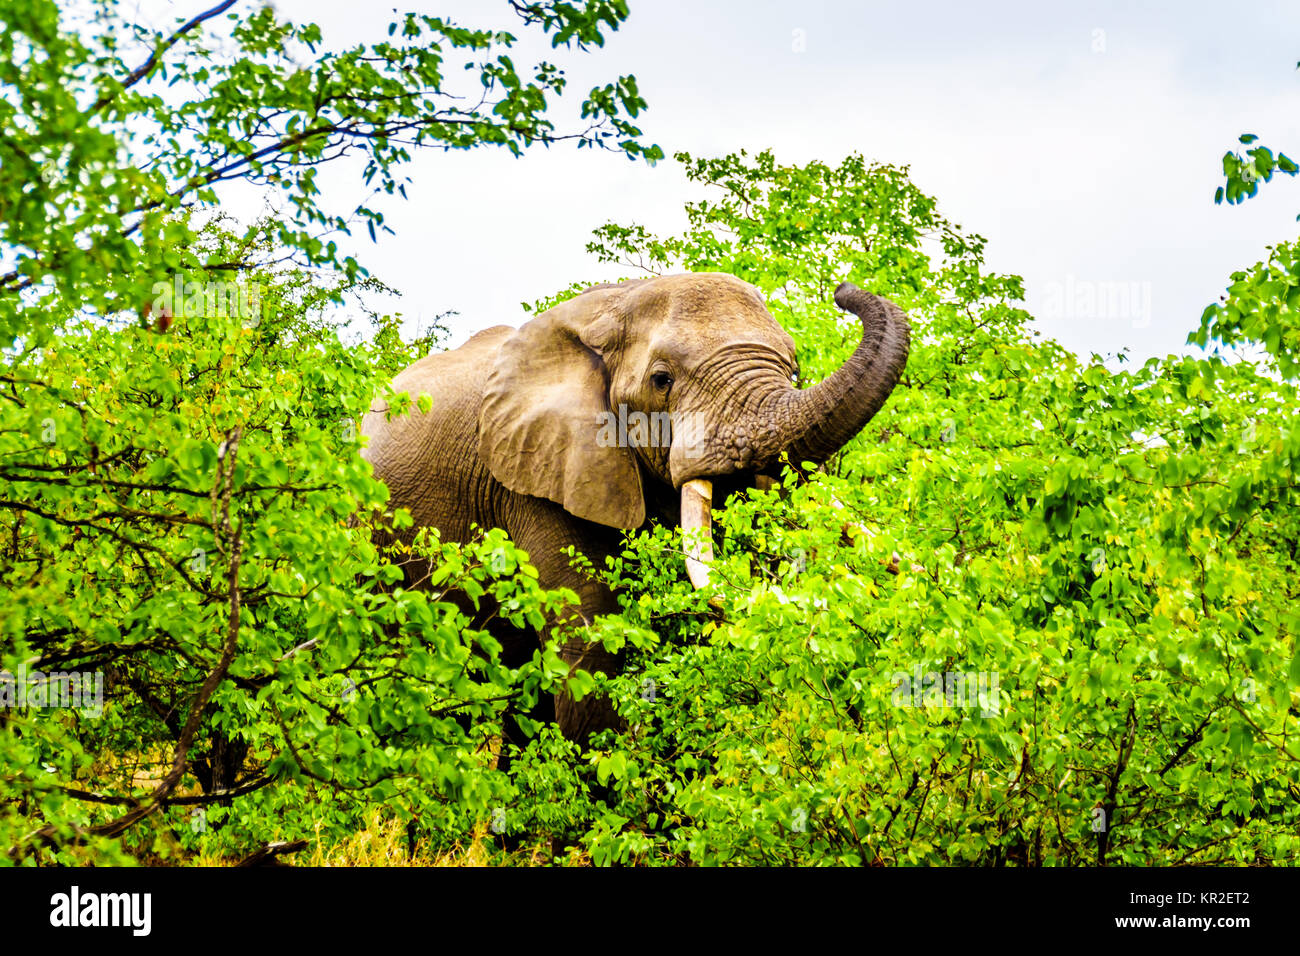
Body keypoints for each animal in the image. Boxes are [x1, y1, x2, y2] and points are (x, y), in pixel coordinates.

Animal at [359, 272, 910, 746]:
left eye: (795, 370)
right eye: (661, 380)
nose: (842, 289)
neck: (613, 306)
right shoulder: (534, 478)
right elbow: (592, 653)